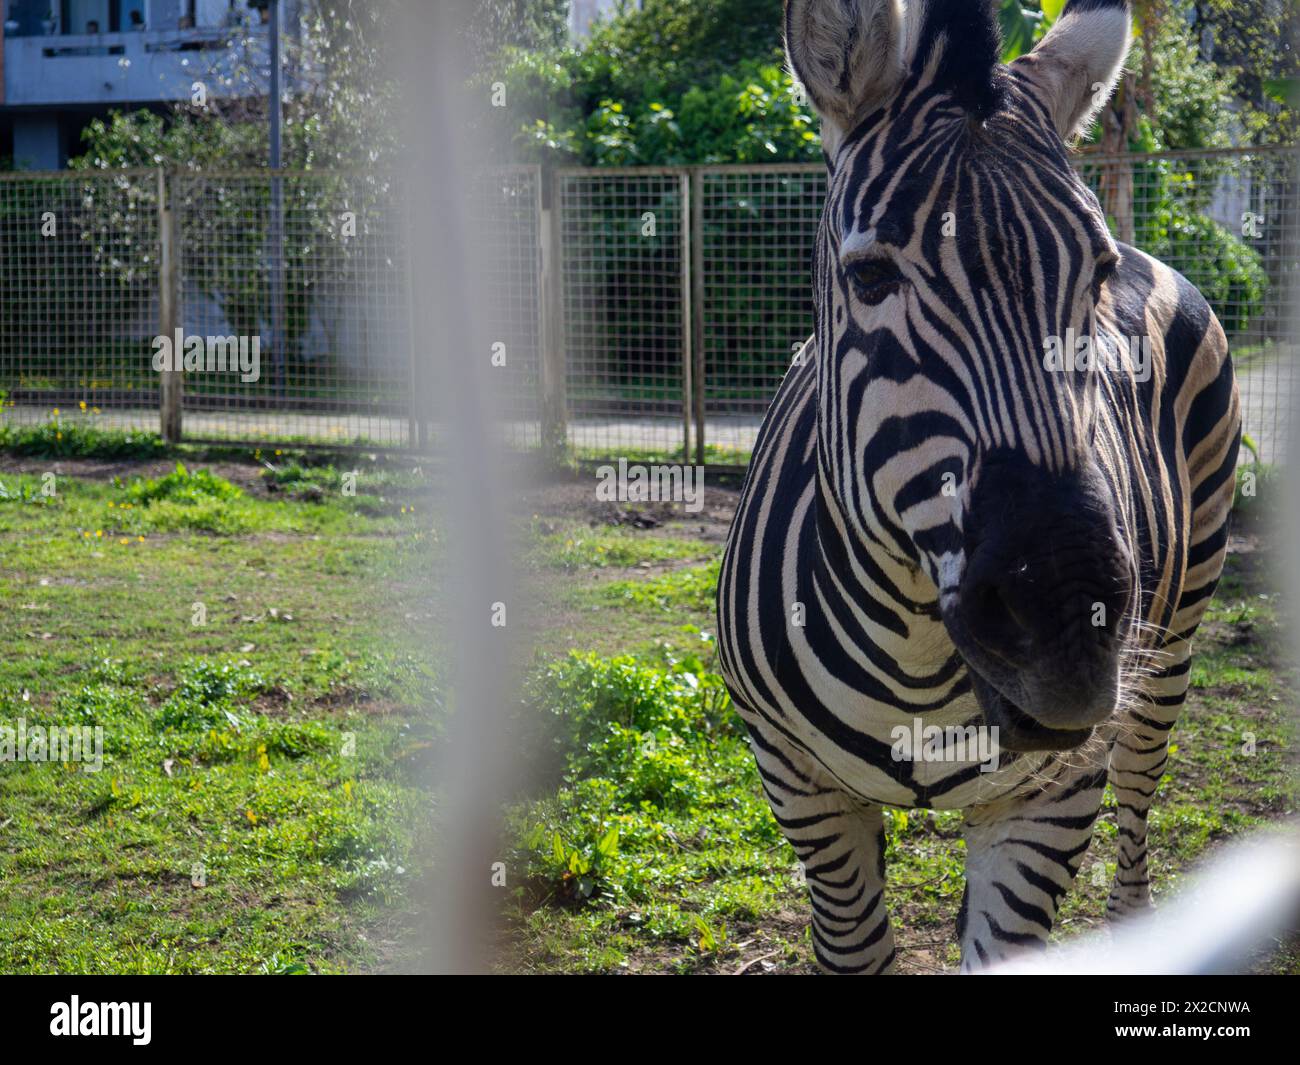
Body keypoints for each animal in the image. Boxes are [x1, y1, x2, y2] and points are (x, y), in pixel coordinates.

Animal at [716, 0, 1241, 973]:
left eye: (1095, 278)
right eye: (869, 276)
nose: (1066, 634)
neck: (919, 652)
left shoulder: (1054, 796)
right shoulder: (797, 781)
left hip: (1175, 636)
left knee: (1141, 794)